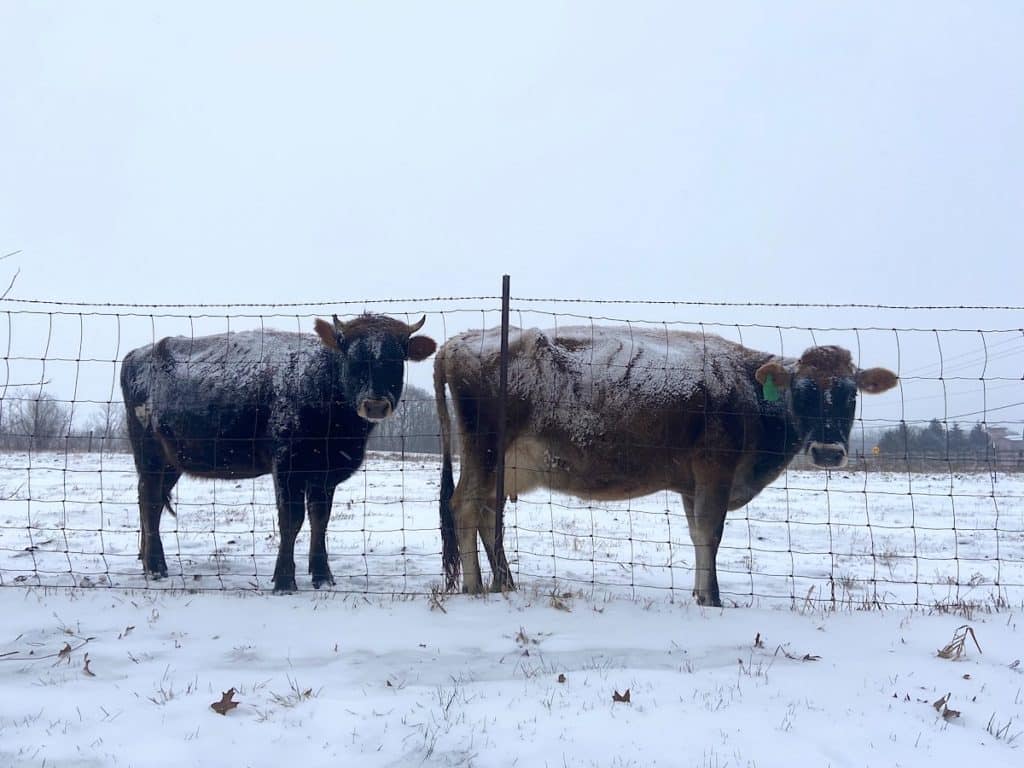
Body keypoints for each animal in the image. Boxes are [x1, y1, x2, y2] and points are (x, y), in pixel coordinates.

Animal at [120, 314, 436, 592]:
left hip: (172, 462)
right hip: (150, 455)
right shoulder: (286, 467)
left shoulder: (324, 475)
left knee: (152, 503)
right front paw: (284, 580)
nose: (375, 404)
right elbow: (291, 520)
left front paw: (323, 576)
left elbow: (320, 520)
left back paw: (146, 559)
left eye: (397, 357)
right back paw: (156, 567)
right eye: (351, 355)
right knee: (149, 501)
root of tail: (139, 353)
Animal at [434, 325, 898, 606]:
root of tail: (458, 341)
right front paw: (712, 598)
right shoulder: (715, 470)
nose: (828, 451)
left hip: (499, 463)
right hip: (485, 450)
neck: (748, 390)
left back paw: (504, 582)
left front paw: (698, 592)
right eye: (802, 392)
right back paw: (475, 586)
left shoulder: (693, 483)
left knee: (487, 511)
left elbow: (697, 536)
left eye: (850, 395)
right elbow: (711, 533)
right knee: (465, 507)